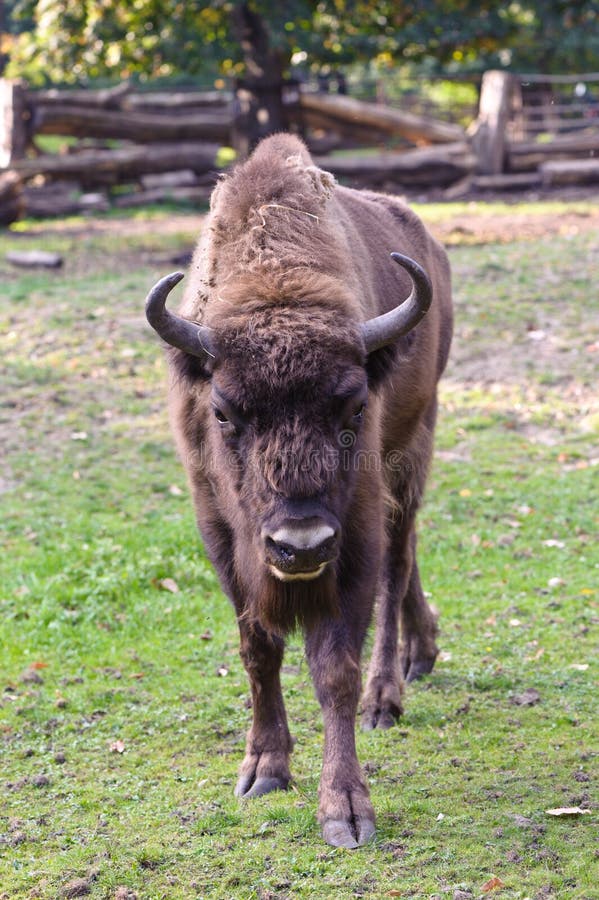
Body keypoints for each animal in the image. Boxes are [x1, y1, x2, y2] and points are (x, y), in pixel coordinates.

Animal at [145, 133, 453, 848]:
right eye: (223, 412)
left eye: (354, 407)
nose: (300, 544)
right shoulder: (222, 535)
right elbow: (258, 648)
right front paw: (263, 770)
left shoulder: (356, 533)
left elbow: (335, 666)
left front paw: (345, 810)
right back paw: (422, 652)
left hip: (412, 453)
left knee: (400, 563)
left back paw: (387, 695)